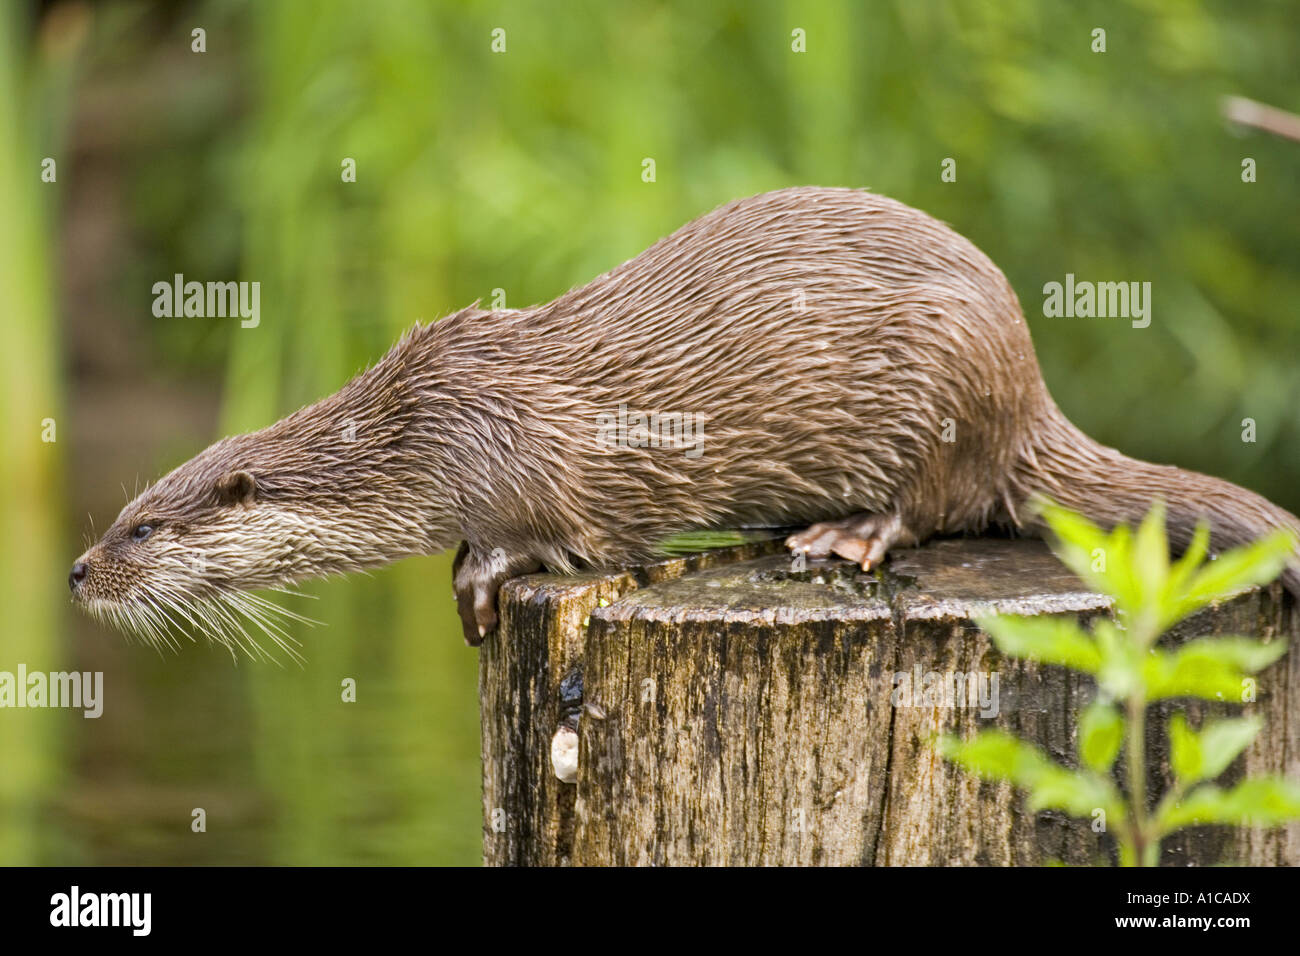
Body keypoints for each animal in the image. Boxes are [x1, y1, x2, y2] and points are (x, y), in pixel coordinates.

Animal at [71, 187, 1300, 655]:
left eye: (142, 526)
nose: (81, 570)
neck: (420, 431)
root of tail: (1029, 380)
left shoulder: (511, 450)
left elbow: (533, 532)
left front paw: (478, 579)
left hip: (950, 382)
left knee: (945, 505)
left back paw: (845, 534)